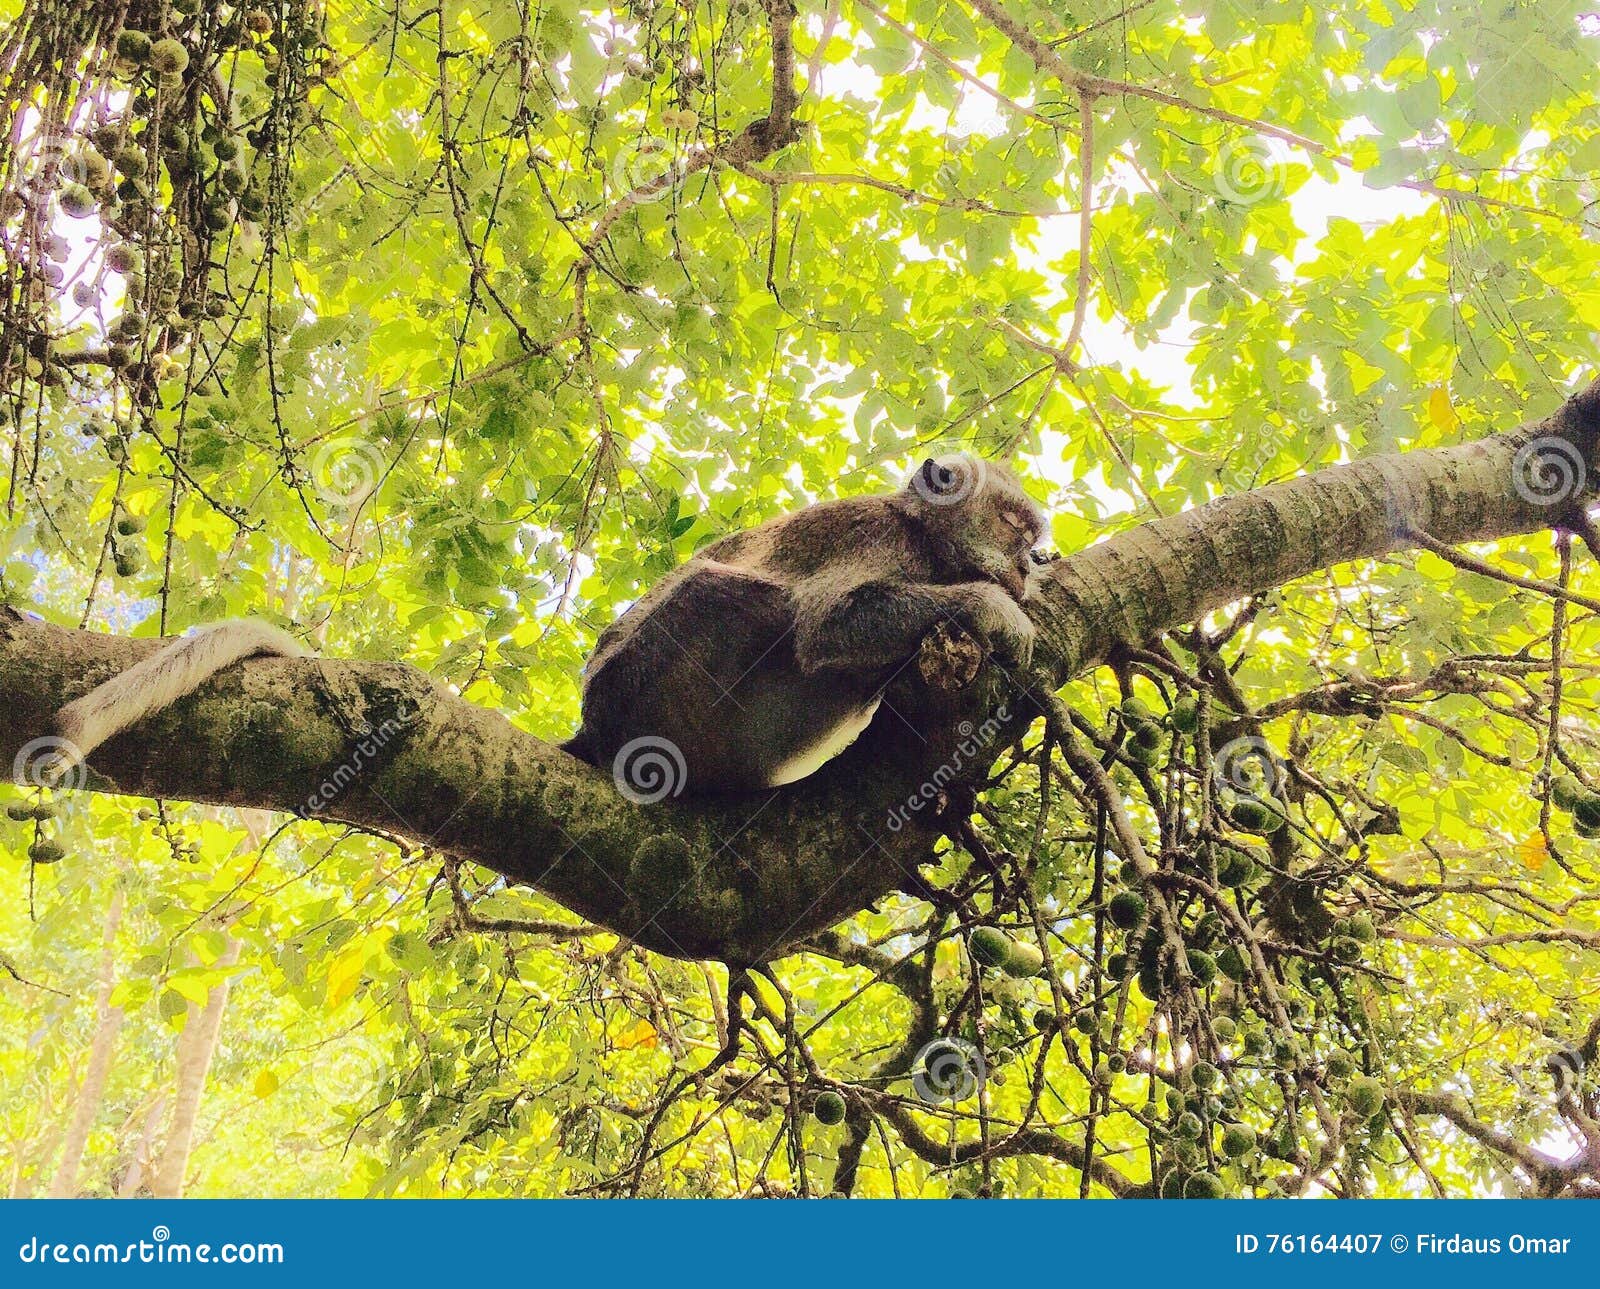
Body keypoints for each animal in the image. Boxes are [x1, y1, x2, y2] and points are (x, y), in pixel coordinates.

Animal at [564, 453, 1047, 794]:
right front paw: (995, 609)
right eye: (1012, 525)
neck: (923, 538)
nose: (1027, 564)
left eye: (1028, 539)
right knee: (718, 590)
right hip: (645, 684)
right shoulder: (876, 534)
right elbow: (826, 623)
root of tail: (593, 729)